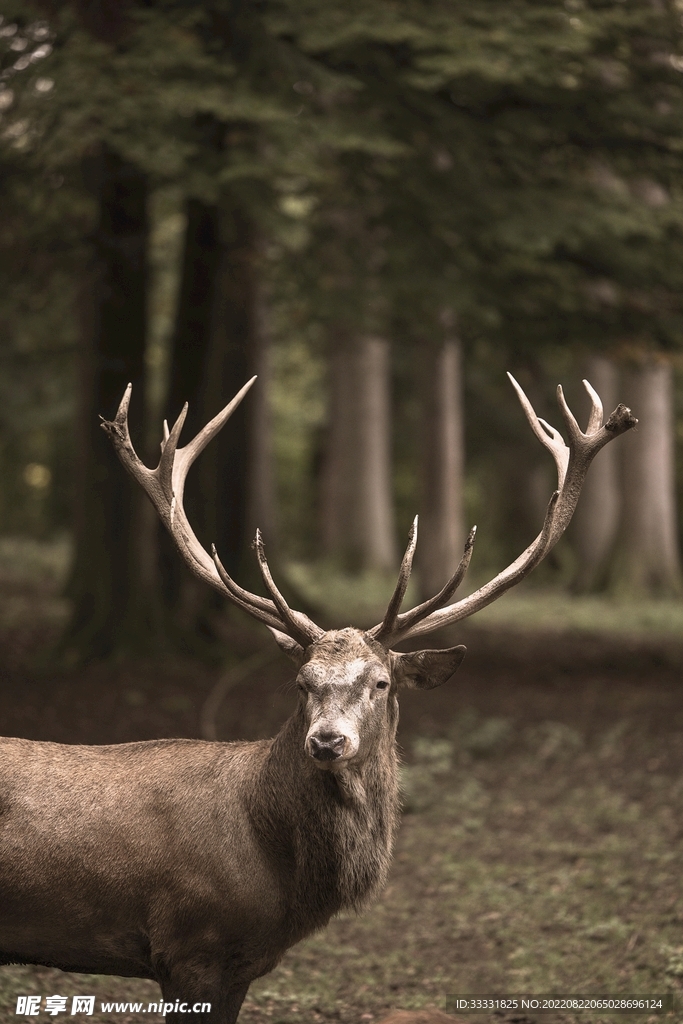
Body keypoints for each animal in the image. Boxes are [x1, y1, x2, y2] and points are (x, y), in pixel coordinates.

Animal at [0, 373, 636, 1023]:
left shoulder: (233, 967)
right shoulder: (187, 946)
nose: (327, 740)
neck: (281, 883)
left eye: (381, 682)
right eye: (302, 682)